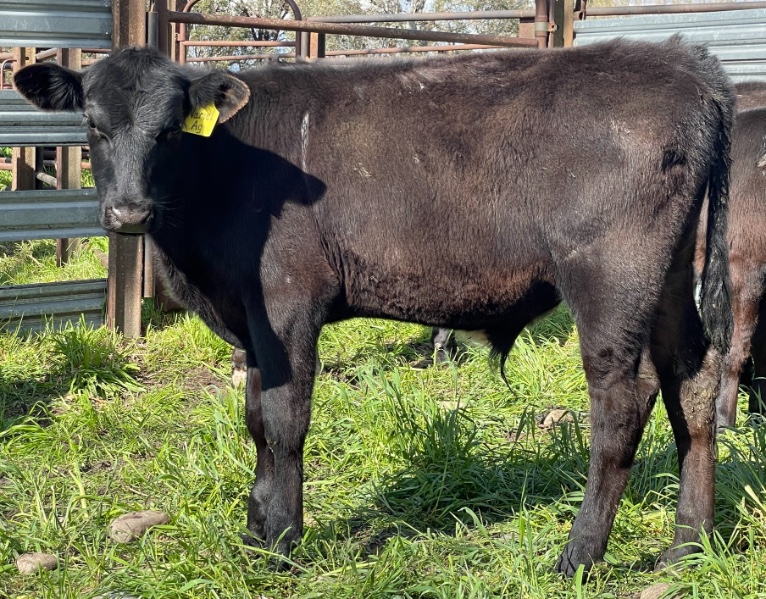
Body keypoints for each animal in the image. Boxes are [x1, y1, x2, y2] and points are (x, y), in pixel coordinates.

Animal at [14, 37, 735, 577]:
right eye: (93, 125)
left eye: (169, 131)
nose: (128, 212)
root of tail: (685, 64)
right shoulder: (251, 321)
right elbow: (255, 418)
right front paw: (255, 529)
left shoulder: (287, 303)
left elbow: (285, 421)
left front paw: (282, 542)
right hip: (674, 275)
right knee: (692, 383)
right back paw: (687, 547)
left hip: (611, 276)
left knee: (622, 405)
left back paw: (578, 556)